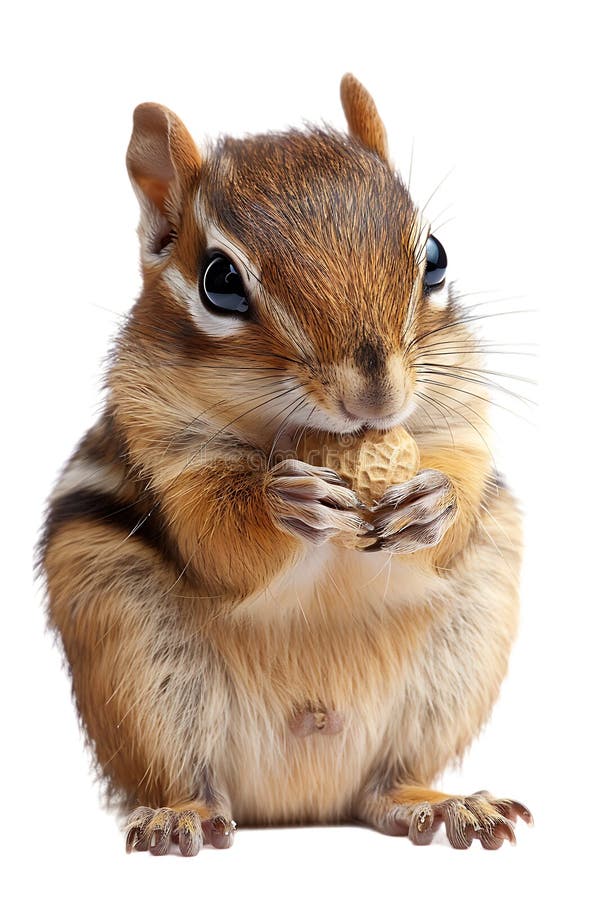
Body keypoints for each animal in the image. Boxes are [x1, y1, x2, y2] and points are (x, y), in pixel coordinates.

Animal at [40, 73, 532, 855]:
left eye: (435, 257)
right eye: (219, 281)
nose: (375, 395)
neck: (306, 434)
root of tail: (299, 805)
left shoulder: (455, 413)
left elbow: (458, 471)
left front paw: (433, 502)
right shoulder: (164, 447)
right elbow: (215, 533)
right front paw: (286, 502)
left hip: (457, 662)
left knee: (385, 786)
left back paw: (443, 804)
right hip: (135, 665)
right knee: (188, 776)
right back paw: (183, 815)